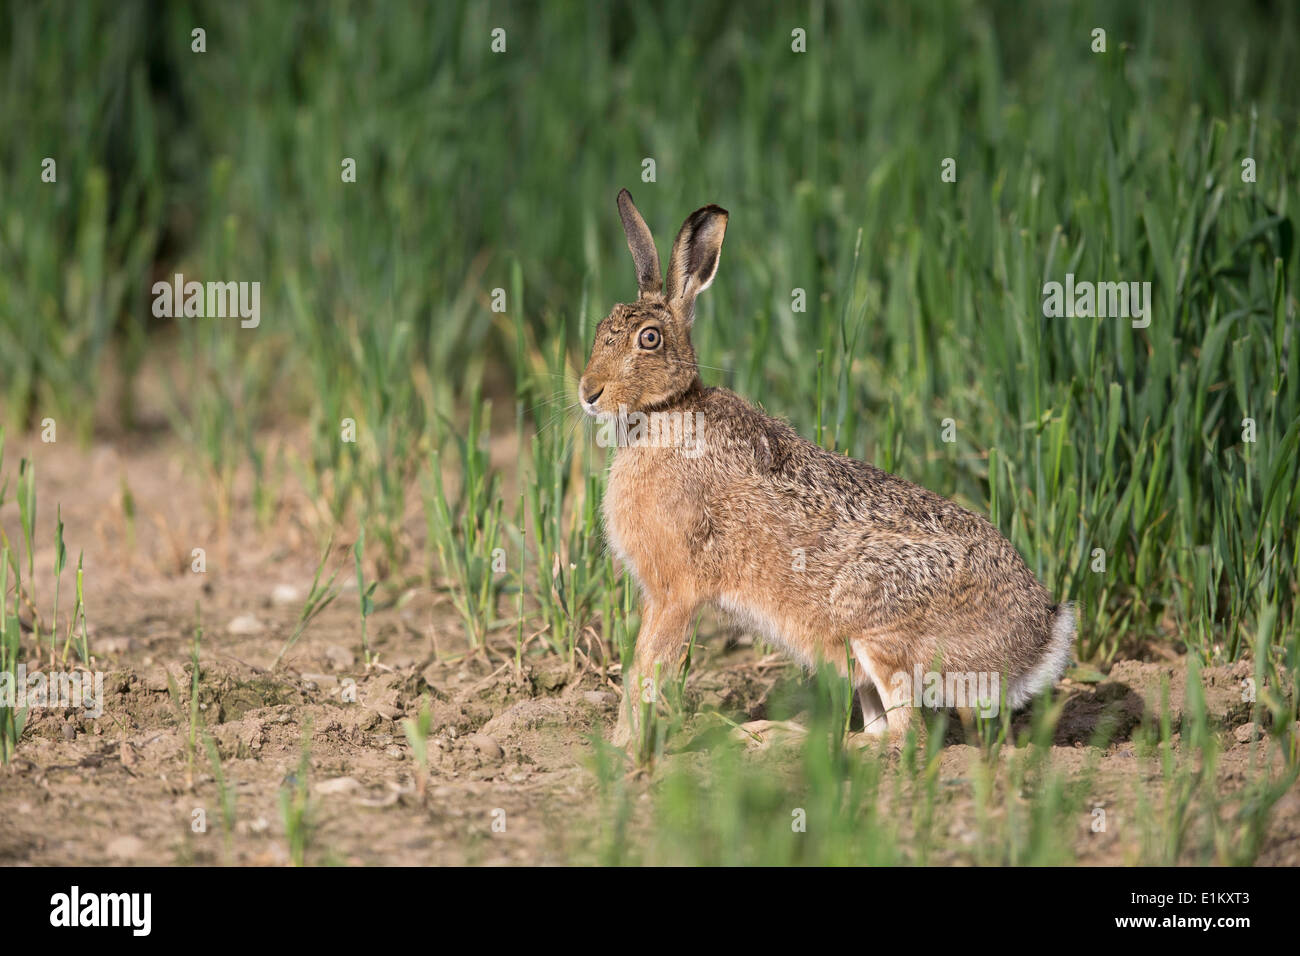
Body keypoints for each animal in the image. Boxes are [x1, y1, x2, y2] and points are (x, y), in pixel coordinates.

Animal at [580, 188, 1075, 746]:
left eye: (649, 339)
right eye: (600, 329)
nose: (588, 392)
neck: (668, 409)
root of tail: (1036, 641)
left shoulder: (675, 593)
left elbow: (646, 670)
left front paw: (623, 747)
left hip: (877, 628)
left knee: (902, 737)